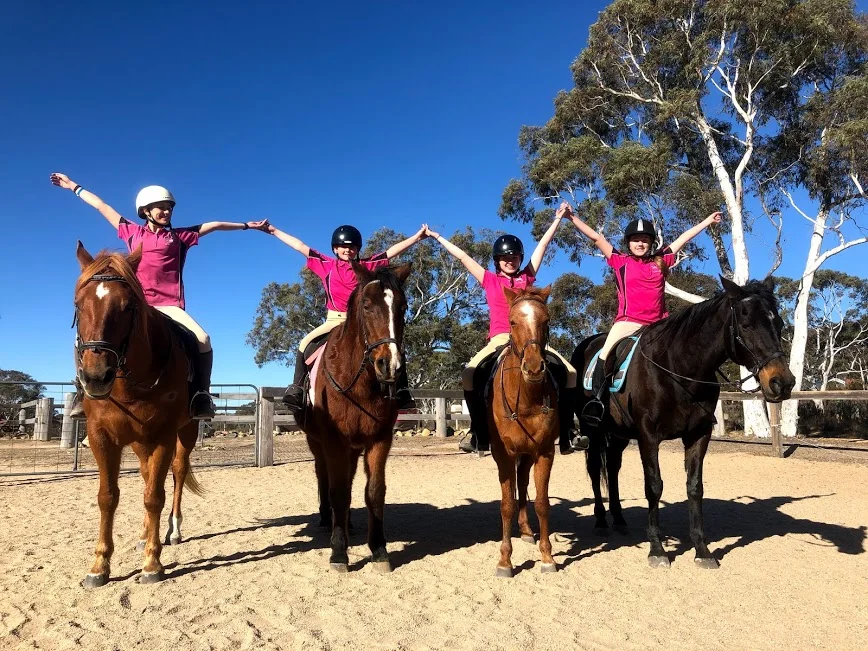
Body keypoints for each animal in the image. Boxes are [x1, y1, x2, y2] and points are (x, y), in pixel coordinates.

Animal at [74, 242, 202, 587]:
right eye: (78, 304)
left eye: (129, 306)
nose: (96, 377)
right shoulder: (101, 437)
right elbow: (107, 497)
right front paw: (99, 565)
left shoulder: (163, 436)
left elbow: (154, 496)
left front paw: (152, 564)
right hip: (138, 442)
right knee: (146, 476)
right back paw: (146, 535)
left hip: (186, 432)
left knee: (177, 473)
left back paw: (172, 530)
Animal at [299, 261, 412, 572]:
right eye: (366, 305)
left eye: (403, 307)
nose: (390, 365)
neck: (360, 382)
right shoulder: (333, 441)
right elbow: (338, 490)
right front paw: (339, 551)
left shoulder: (380, 439)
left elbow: (374, 491)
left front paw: (379, 550)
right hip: (318, 443)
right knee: (323, 475)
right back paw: (327, 520)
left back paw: (346, 522)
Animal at [487, 286, 560, 577]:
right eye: (512, 322)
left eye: (547, 321)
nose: (533, 367)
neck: (527, 400)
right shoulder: (503, 454)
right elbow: (506, 504)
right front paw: (505, 561)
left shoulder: (544, 452)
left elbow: (541, 503)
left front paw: (547, 557)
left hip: (528, 454)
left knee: (522, 483)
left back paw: (528, 531)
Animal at [571, 277, 795, 568]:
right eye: (746, 325)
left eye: (778, 324)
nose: (783, 383)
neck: (678, 370)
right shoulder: (648, 436)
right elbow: (654, 486)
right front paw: (657, 549)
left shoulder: (698, 435)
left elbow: (695, 487)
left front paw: (702, 549)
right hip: (593, 429)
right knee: (596, 468)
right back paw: (600, 520)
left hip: (618, 434)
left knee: (613, 467)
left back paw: (619, 519)